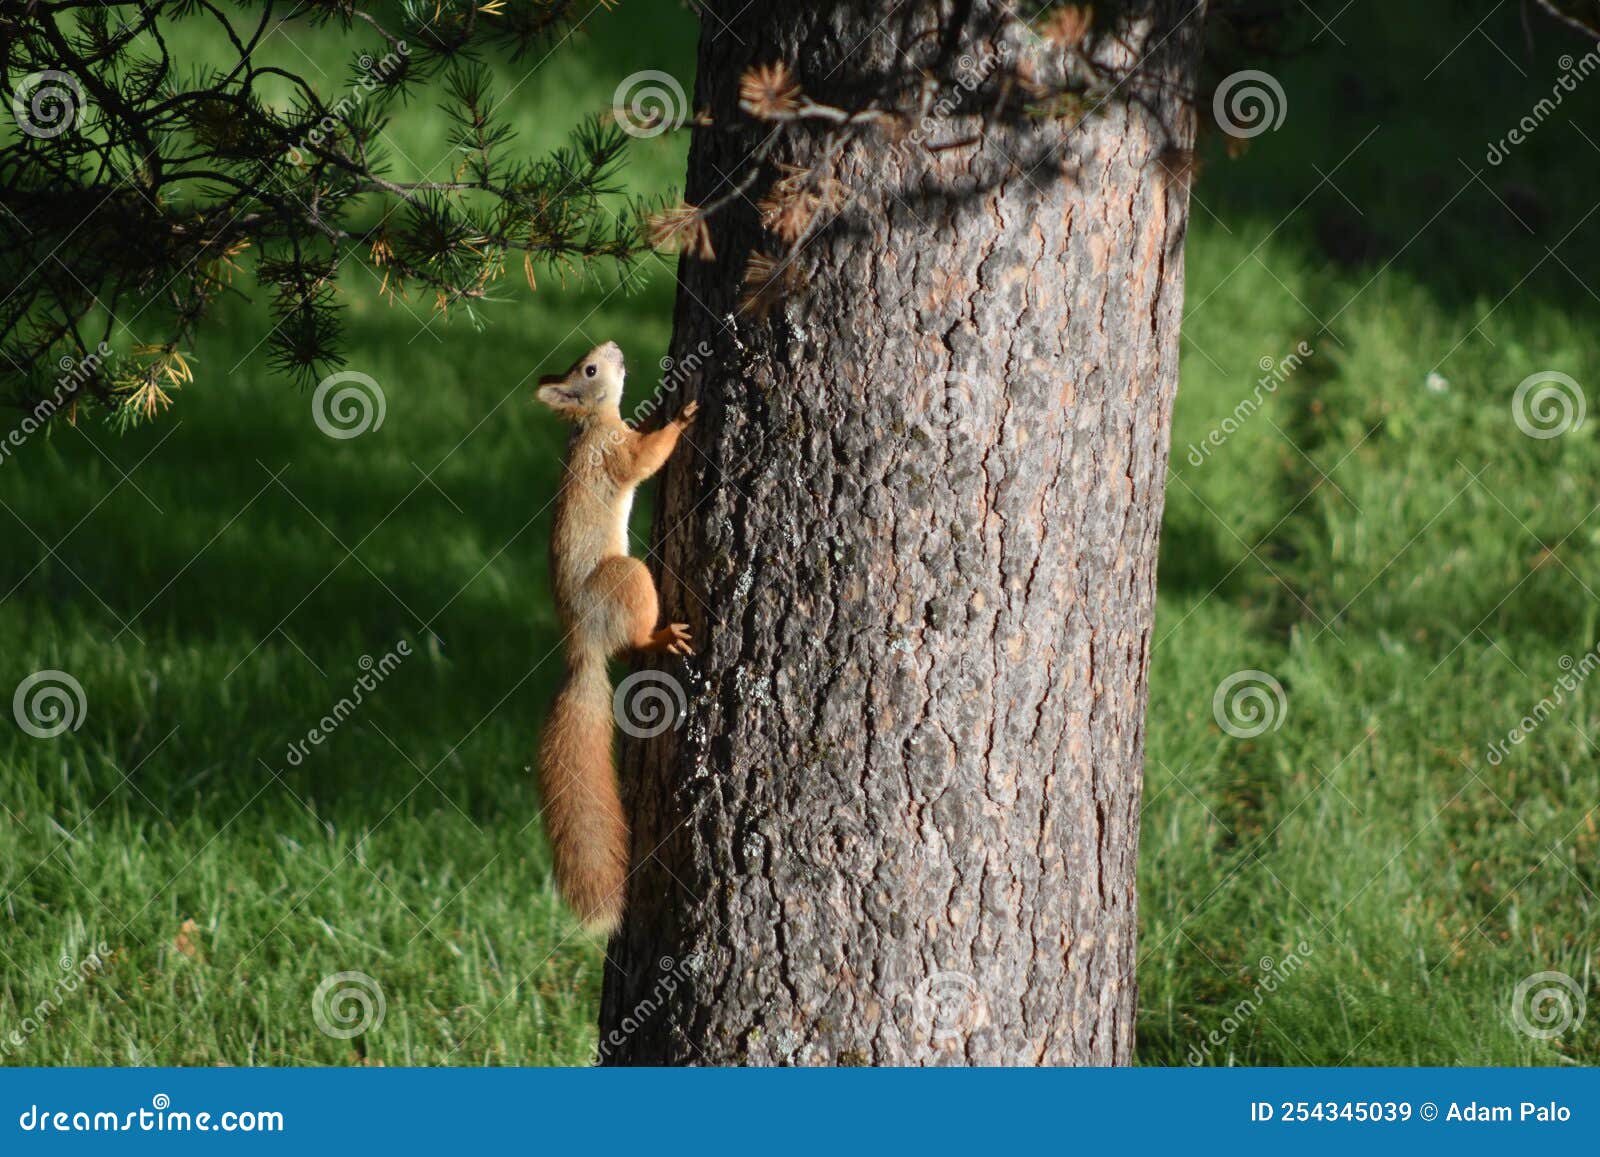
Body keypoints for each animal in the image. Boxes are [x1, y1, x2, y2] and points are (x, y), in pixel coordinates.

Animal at [534, 340, 698, 934]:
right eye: (589, 369)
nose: (615, 348)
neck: (590, 425)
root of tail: (581, 645)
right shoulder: (612, 453)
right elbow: (644, 459)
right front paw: (680, 418)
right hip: (627, 578)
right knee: (633, 642)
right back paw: (661, 638)